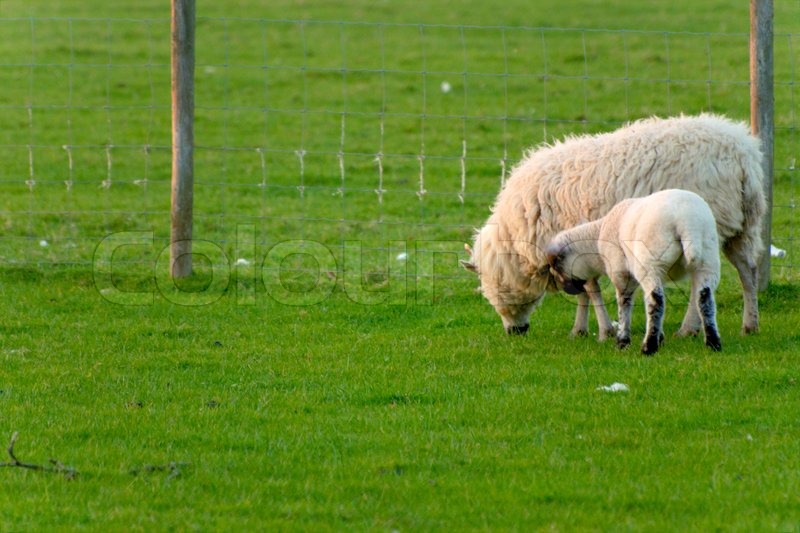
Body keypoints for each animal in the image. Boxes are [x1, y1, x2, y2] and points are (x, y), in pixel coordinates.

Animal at [461, 114, 765, 338]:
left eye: (492, 286)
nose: (515, 331)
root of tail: (744, 154)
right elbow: (583, 290)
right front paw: (581, 330)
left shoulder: (575, 247)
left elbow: (590, 289)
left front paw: (602, 330)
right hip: (742, 225)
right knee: (748, 270)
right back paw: (750, 324)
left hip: (705, 227)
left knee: (701, 281)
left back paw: (688, 329)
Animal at [546, 189, 722, 355]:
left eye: (556, 266)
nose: (568, 290)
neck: (596, 242)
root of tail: (686, 223)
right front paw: (660, 337)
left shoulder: (620, 272)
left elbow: (624, 303)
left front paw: (622, 342)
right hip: (708, 261)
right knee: (704, 299)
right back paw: (713, 344)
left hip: (651, 262)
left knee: (656, 300)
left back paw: (648, 348)